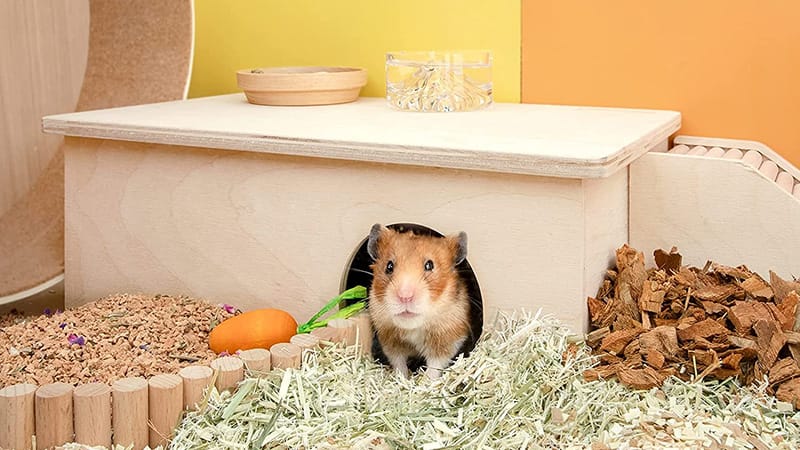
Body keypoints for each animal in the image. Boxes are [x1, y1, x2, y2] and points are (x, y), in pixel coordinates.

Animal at [366, 223, 475, 379]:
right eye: (389, 266)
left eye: (430, 265)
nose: (405, 296)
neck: (413, 327)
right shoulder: (389, 339)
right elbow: (398, 361)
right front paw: (402, 378)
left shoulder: (450, 337)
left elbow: (436, 363)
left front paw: (426, 380)